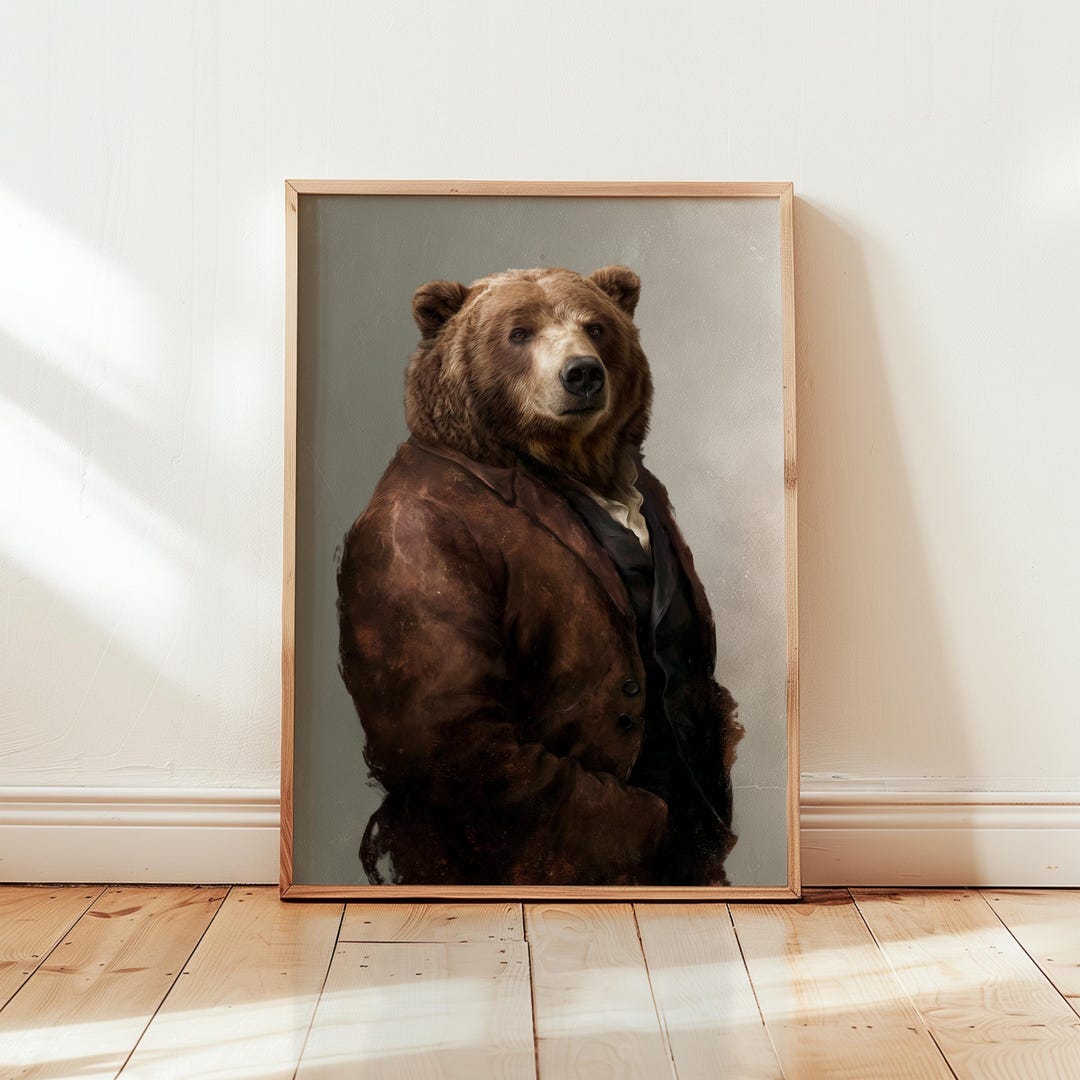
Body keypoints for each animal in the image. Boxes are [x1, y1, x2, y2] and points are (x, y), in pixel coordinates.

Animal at [336, 264, 745, 887]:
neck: (565, 463)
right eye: (518, 332)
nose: (582, 374)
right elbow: (457, 720)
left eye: (596, 326)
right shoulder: (418, 547)